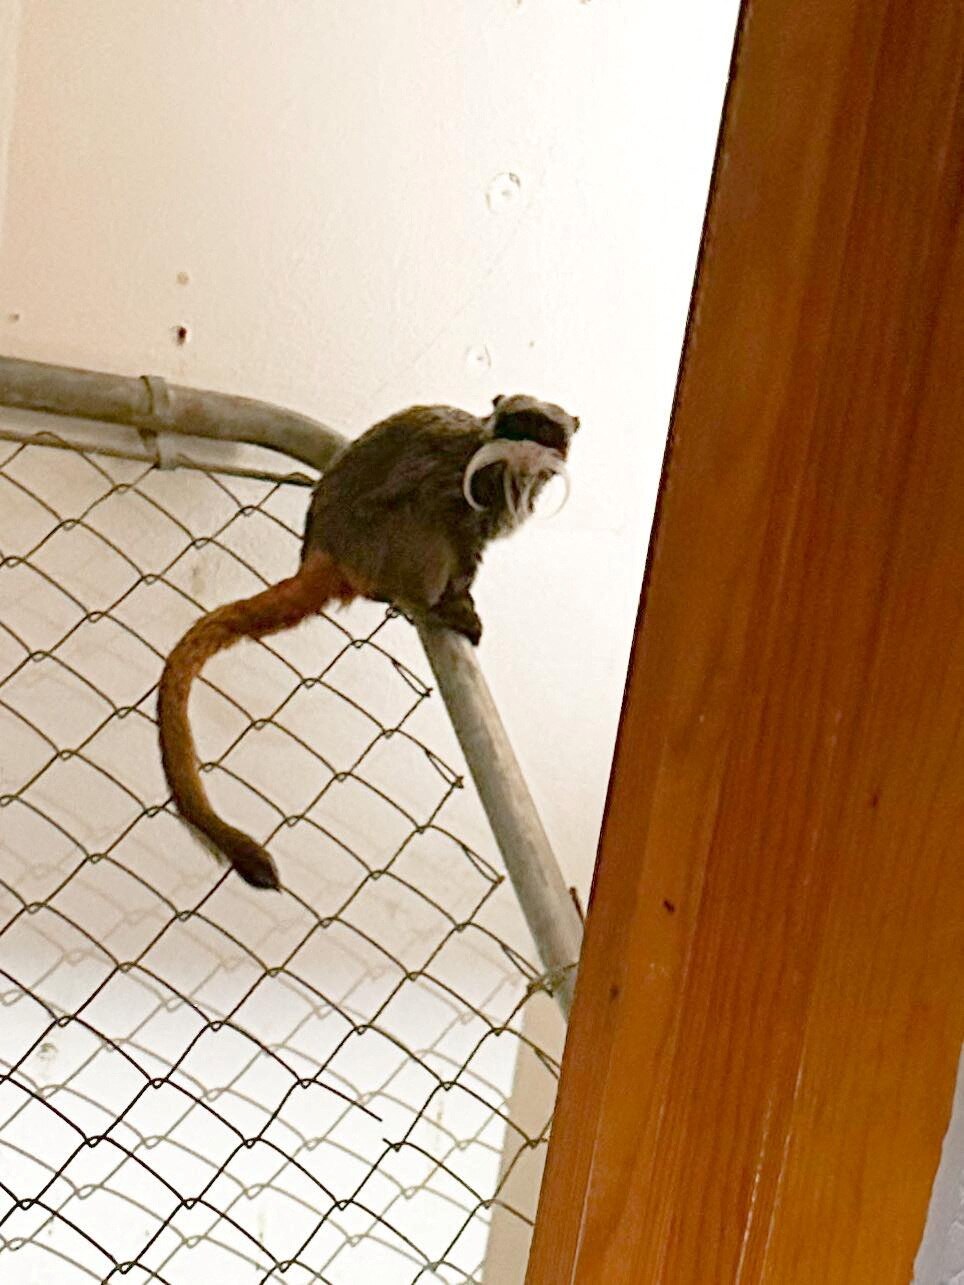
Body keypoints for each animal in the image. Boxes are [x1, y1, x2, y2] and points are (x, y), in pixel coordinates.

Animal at [157, 394, 579, 892]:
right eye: (516, 422)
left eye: (541, 428)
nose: (520, 444)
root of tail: (325, 549)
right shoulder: (461, 473)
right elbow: (443, 511)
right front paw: (454, 599)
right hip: (378, 543)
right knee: (425, 515)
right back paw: (428, 604)